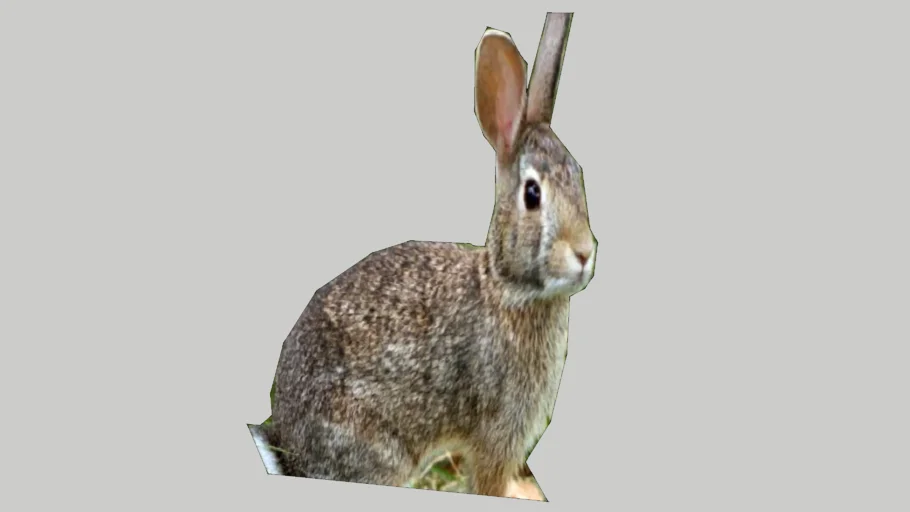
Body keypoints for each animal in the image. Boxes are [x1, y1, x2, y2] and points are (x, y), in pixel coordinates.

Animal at [252, 12, 596, 500]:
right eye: (533, 194)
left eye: (579, 176)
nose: (586, 253)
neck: (506, 288)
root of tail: (289, 452)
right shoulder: (498, 431)